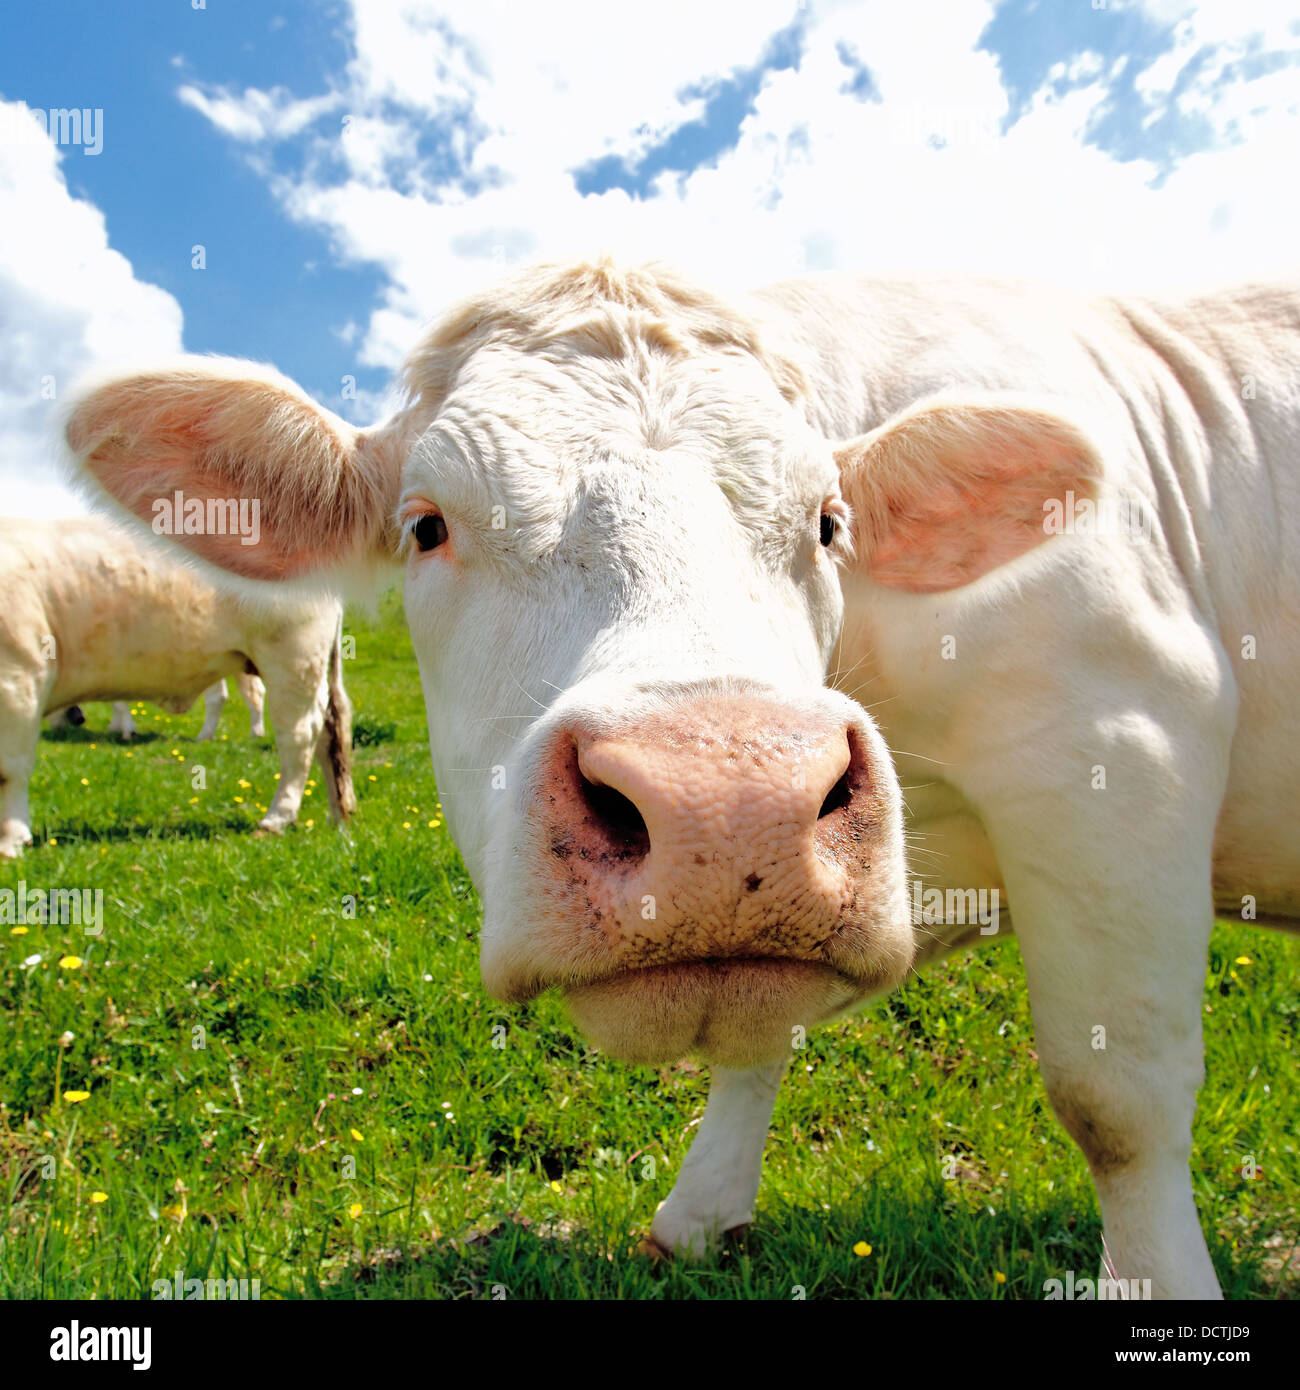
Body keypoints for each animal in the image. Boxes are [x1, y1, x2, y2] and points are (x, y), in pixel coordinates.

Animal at [48, 672, 267, 742]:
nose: (80, 719)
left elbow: (119, 703)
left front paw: (128, 731)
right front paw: (115, 728)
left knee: (218, 696)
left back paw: (203, 736)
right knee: (256, 691)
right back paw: (256, 732)